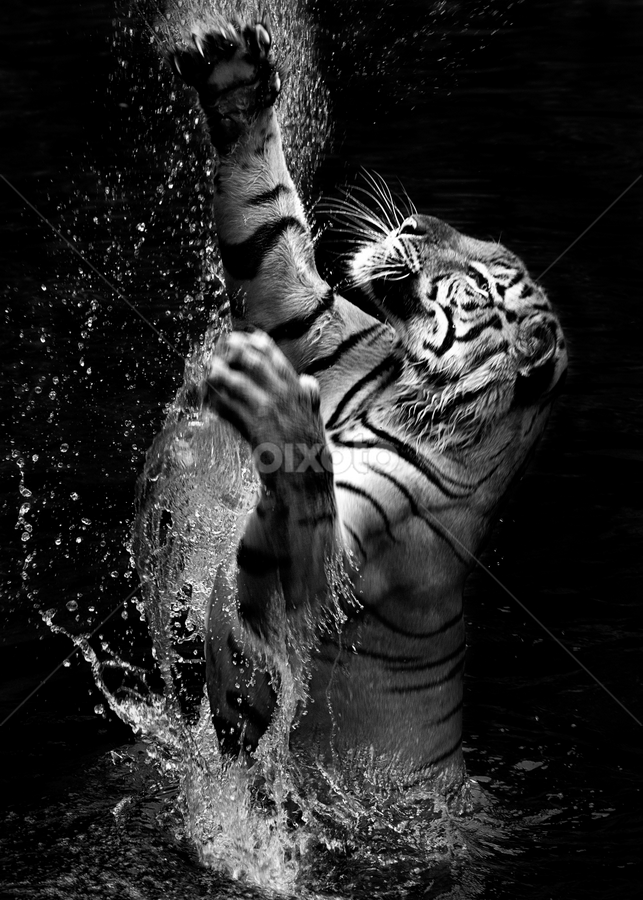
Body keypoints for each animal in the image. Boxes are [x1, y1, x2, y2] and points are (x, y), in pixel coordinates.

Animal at [167, 15, 567, 788]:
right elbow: (268, 229)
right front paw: (236, 78)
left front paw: (273, 405)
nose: (414, 224)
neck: (396, 390)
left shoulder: (346, 574)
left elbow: (301, 529)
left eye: (478, 278)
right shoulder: (320, 323)